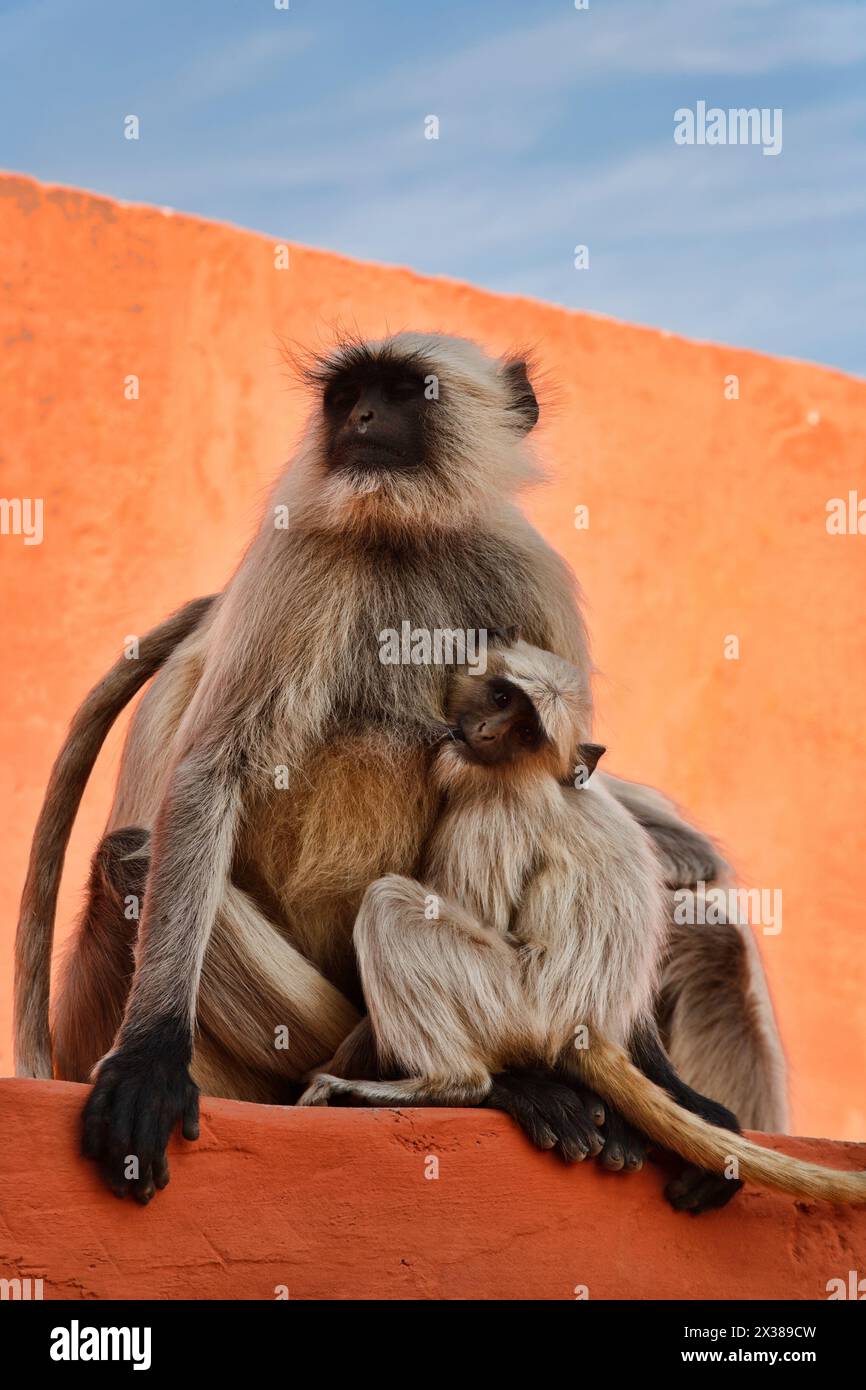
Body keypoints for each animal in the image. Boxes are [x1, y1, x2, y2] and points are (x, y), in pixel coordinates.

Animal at [13, 332, 786, 1201]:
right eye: (347, 394)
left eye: (405, 391)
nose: (358, 419)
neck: (407, 533)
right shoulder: (298, 551)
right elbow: (214, 769)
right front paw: (149, 1058)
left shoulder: (528, 570)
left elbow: (571, 792)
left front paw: (667, 1090)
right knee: (148, 852)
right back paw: (493, 1081)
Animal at [299, 642, 866, 1208]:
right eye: (501, 699)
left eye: (526, 733)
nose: (486, 732)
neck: (542, 778)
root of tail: (588, 1023)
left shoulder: (492, 808)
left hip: (512, 1003)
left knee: (389, 905)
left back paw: (450, 1085)